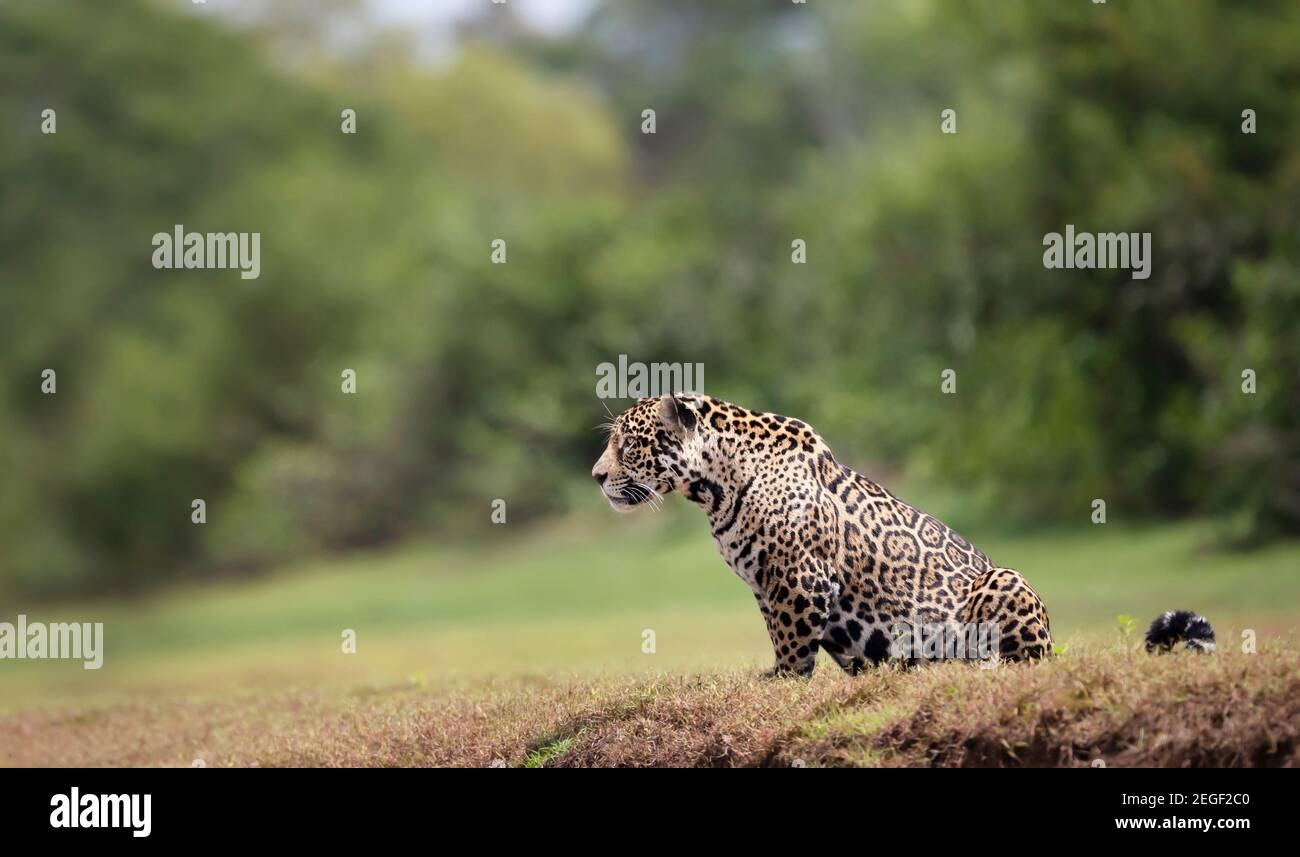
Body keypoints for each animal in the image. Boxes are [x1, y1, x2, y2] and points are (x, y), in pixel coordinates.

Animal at [591, 393, 1053, 676]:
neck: (712, 489)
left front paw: (782, 680)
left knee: (1021, 660)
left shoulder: (800, 576)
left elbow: (793, 641)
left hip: (1006, 580)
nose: (596, 476)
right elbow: (781, 632)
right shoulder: (764, 586)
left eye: (627, 445)